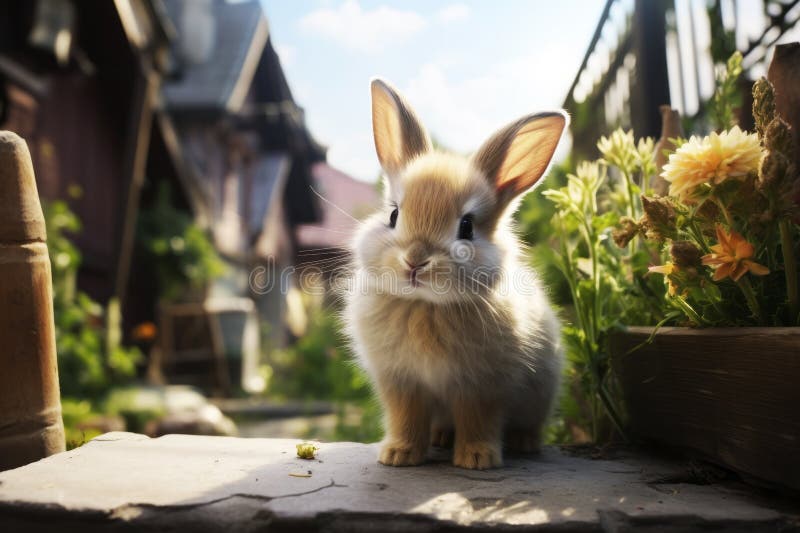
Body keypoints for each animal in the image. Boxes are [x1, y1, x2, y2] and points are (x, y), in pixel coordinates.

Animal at [343, 78, 567, 470]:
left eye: (466, 227)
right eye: (394, 215)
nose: (415, 260)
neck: (426, 305)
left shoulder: (482, 387)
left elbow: (478, 420)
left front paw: (477, 459)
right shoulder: (402, 384)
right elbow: (406, 418)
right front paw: (398, 455)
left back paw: (523, 443)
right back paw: (440, 438)